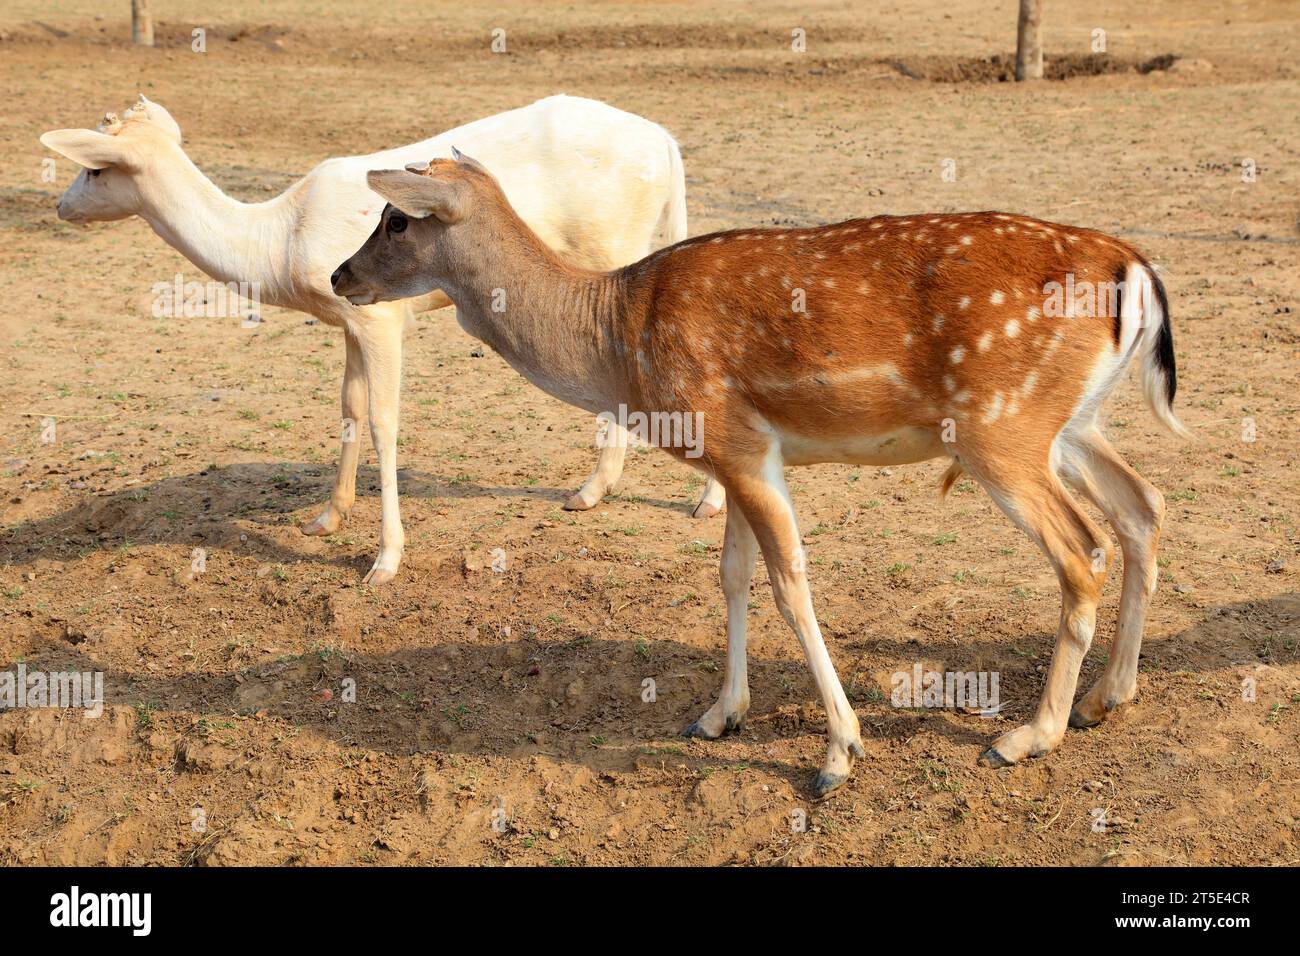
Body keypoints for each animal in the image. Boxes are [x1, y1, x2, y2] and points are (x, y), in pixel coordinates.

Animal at [38, 95, 726, 585]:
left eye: (94, 167)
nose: (60, 207)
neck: (278, 242)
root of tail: (666, 142)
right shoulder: (348, 317)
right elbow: (348, 405)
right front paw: (324, 518)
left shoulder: (383, 319)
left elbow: (384, 421)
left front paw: (384, 560)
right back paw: (595, 492)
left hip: (612, 252)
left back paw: (690, 500)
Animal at [330, 152, 1189, 796]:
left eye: (395, 218)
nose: (340, 276)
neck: (616, 340)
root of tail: (1134, 268)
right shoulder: (735, 451)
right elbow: (733, 574)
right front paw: (719, 715)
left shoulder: (735, 441)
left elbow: (789, 583)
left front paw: (839, 754)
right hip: (1071, 423)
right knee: (1144, 508)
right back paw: (1105, 699)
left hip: (1002, 427)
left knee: (1083, 550)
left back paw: (1028, 735)